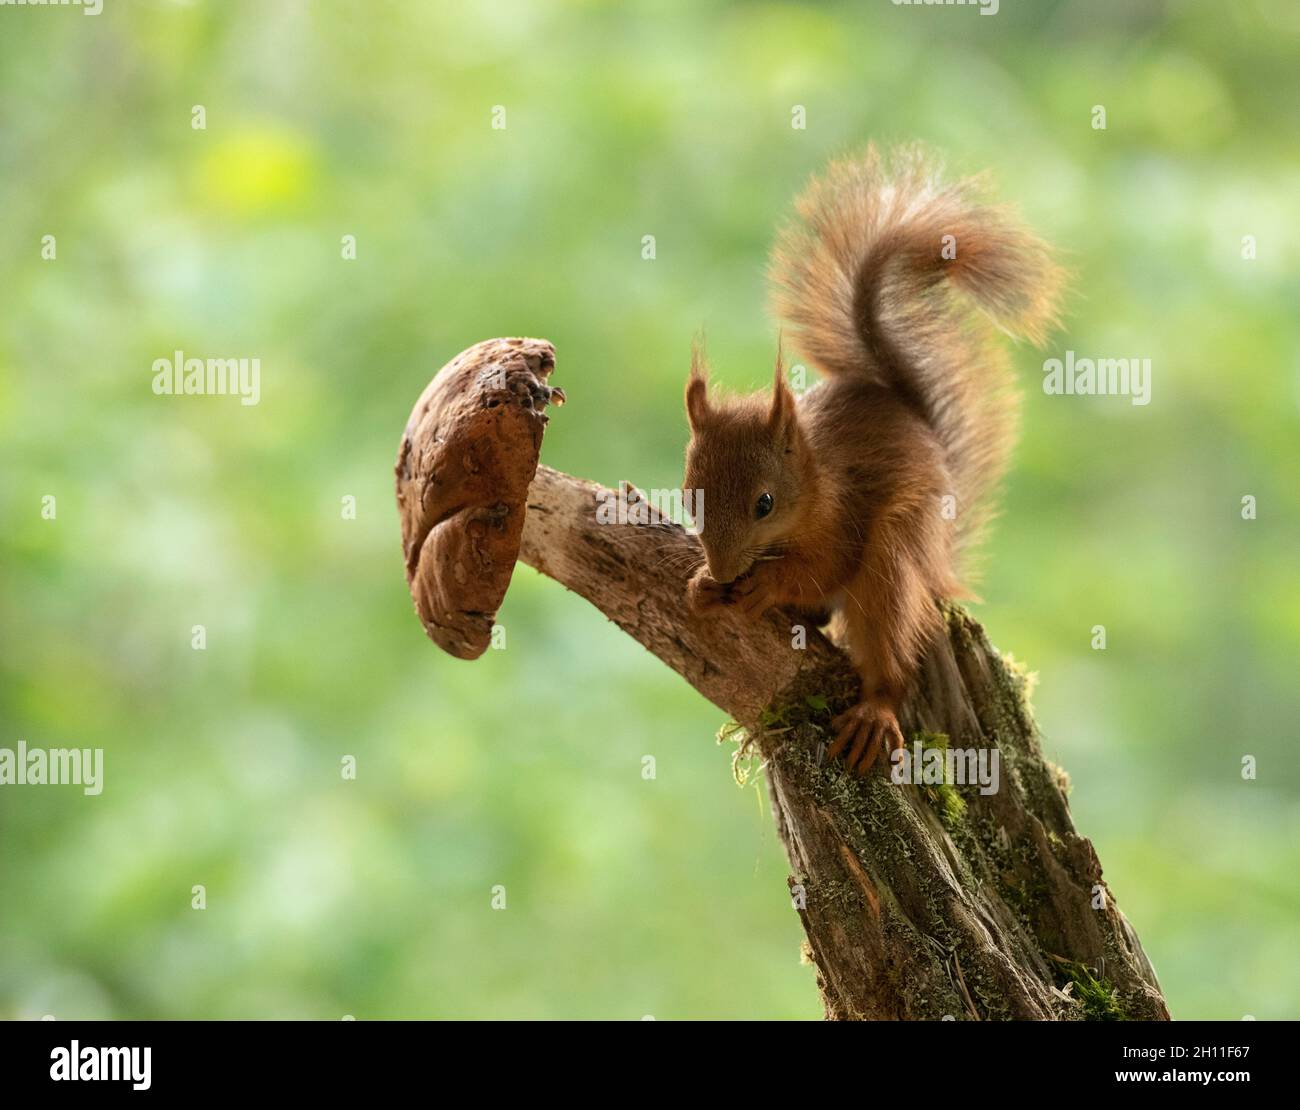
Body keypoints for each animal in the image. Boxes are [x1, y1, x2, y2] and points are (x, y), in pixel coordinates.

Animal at [682, 144, 1062, 775]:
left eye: (765, 503)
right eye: (690, 500)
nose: (728, 572)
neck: (814, 475)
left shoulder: (845, 513)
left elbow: (825, 565)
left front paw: (765, 584)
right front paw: (701, 586)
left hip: (897, 550)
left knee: (886, 642)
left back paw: (874, 711)